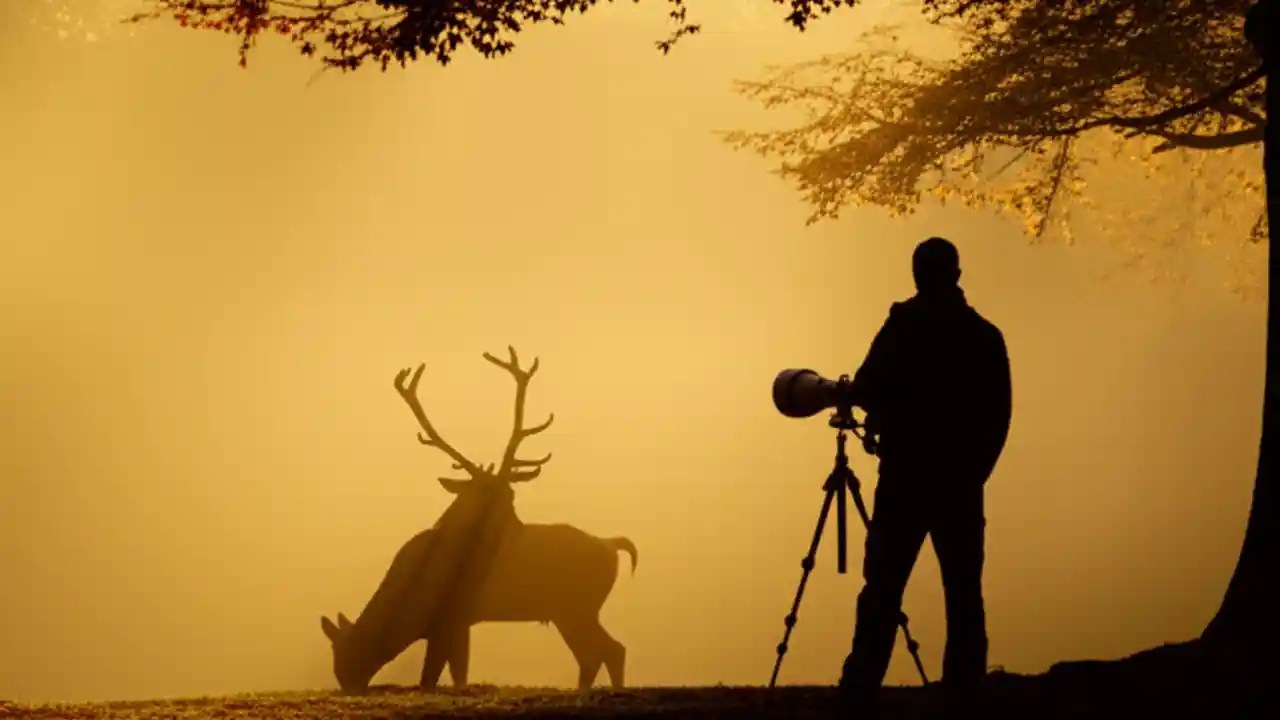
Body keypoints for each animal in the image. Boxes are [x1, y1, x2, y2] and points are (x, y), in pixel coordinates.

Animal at [319, 347, 638, 694]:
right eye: (339, 655)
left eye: (349, 650)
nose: (348, 683)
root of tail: (611, 545)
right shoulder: (448, 625)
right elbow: (440, 675)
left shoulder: (456, 619)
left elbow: (450, 675)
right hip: (569, 610)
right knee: (598, 653)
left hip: (577, 606)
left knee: (609, 650)